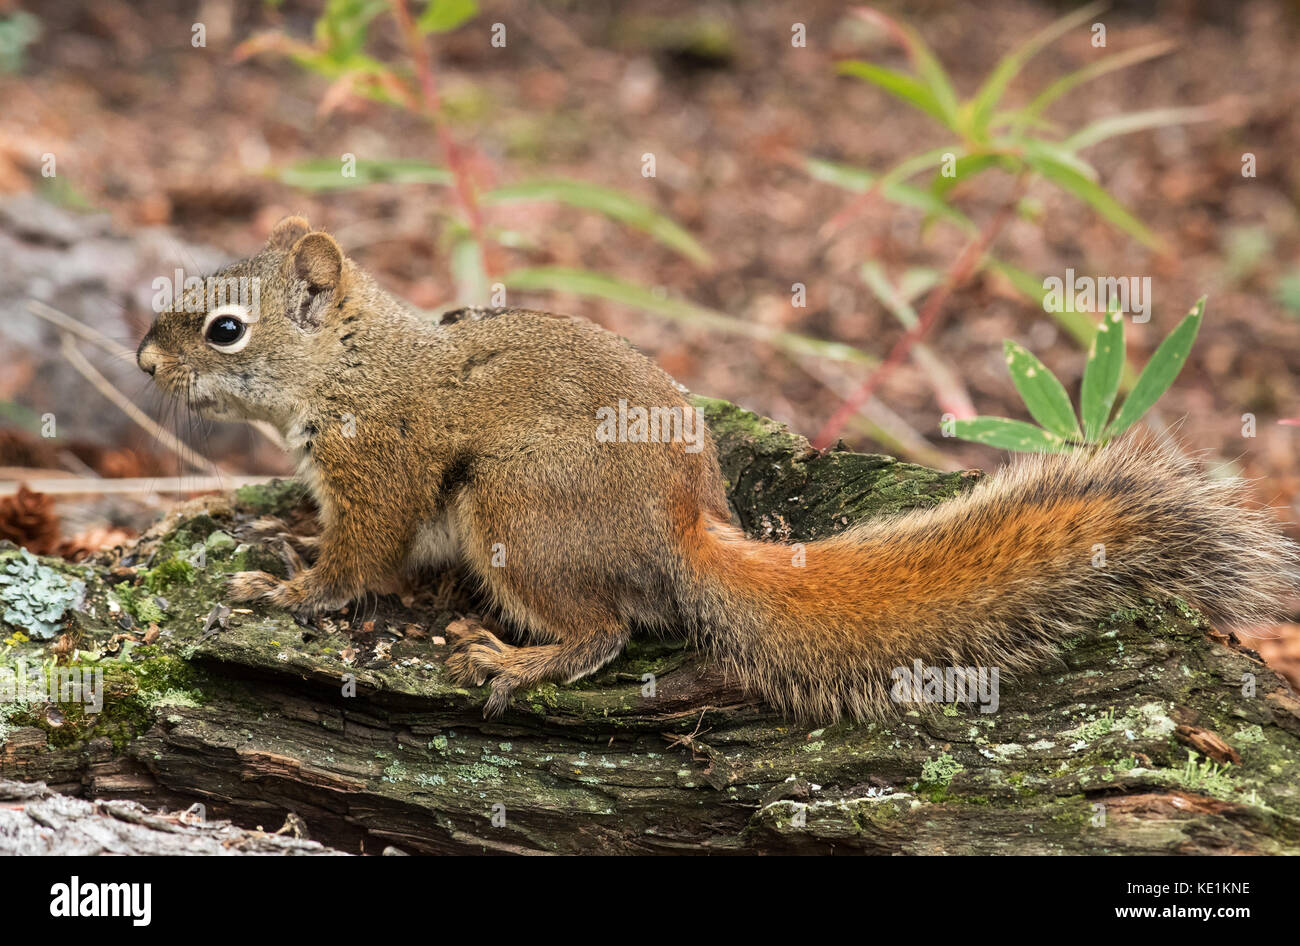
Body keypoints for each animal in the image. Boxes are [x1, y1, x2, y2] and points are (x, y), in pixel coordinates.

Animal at [137, 216, 1300, 721]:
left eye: (226, 328)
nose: (144, 360)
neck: (354, 363)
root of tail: (682, 527)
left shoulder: (379, 465)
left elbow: (356, 563)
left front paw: (284, 589)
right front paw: (280, 536)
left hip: (517, 509)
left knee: (603, 631)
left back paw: (515, 660)